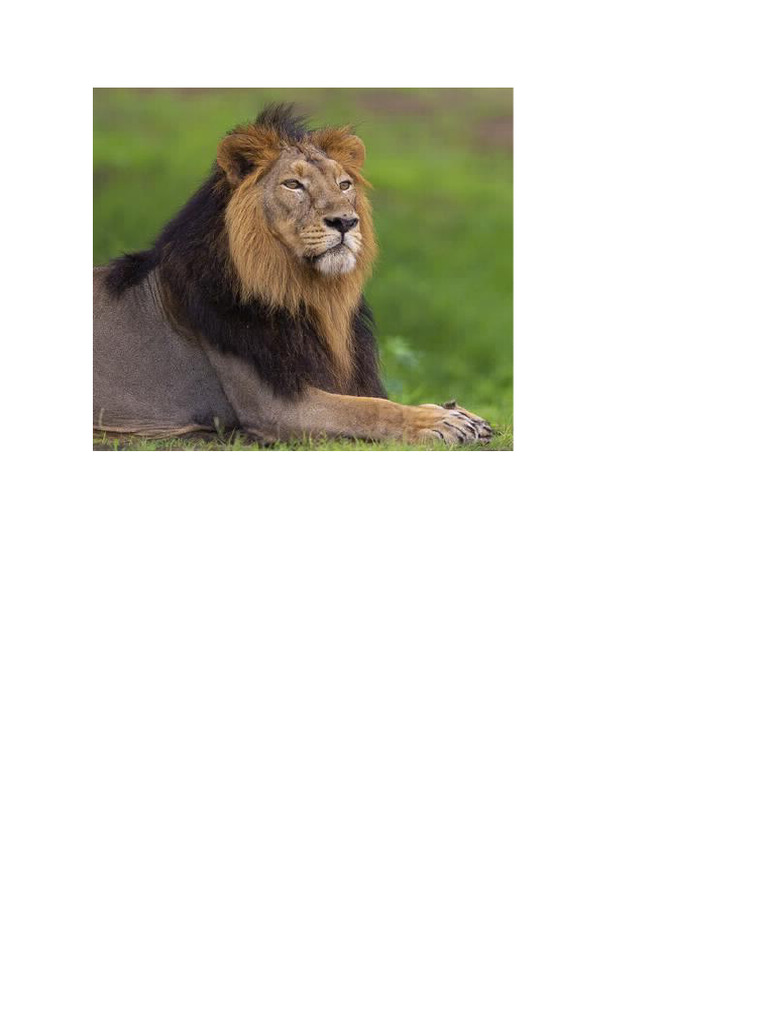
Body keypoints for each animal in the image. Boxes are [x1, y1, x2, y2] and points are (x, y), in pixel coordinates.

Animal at [94, 104, 492, 445]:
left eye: (344, 184)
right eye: (293, 185)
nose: (345, 221)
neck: (308, 294)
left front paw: (455, 411)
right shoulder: (272, 406)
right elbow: (368, 409)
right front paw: (439, 421)